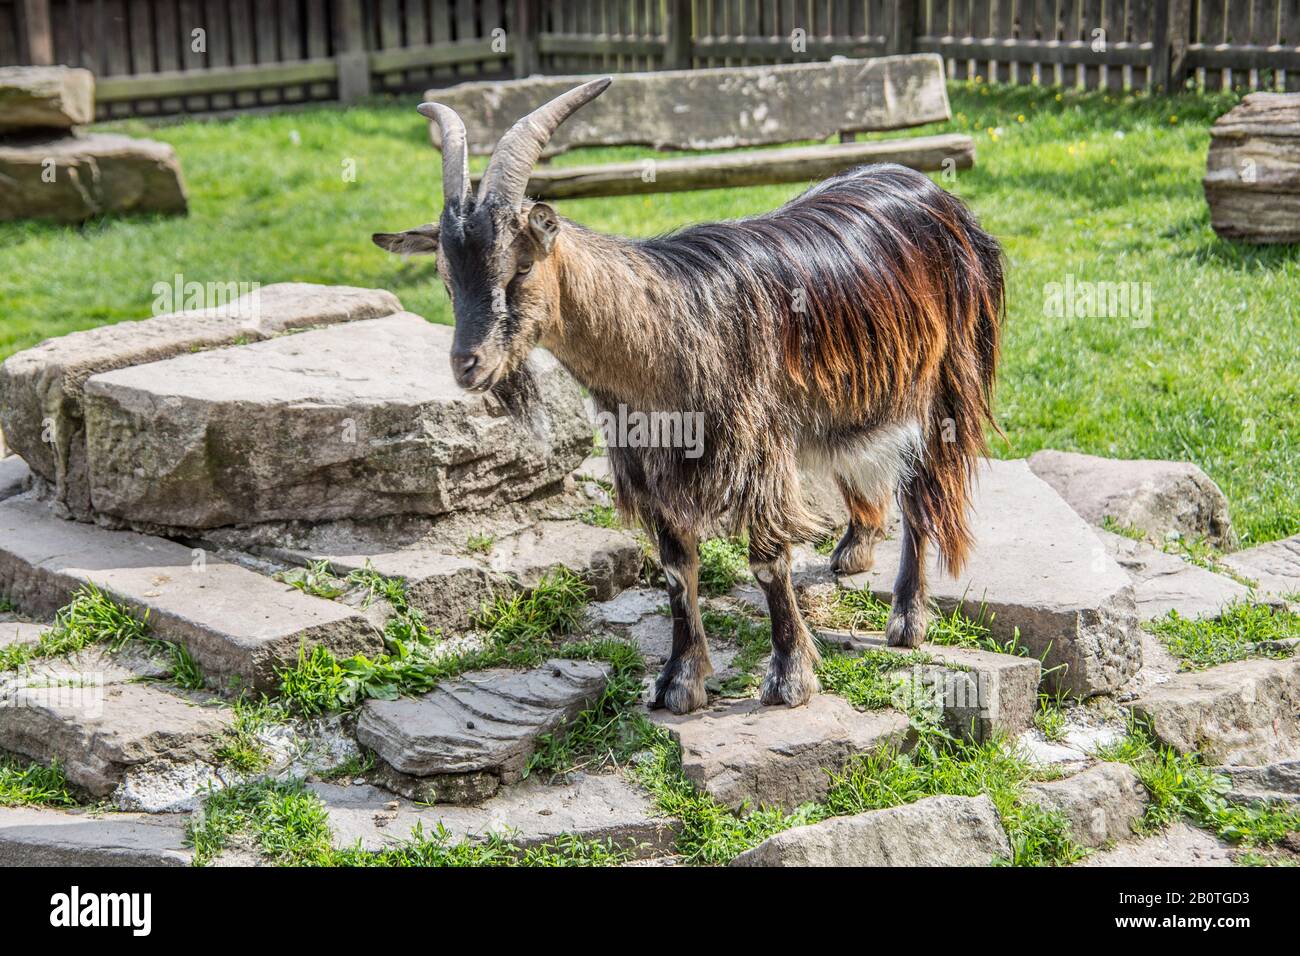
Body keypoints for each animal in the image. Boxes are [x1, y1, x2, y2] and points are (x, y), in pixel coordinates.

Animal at [374, 78, 1005, 715]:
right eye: (446, 277)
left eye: (521, 267)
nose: (467, 365)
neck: (668, 327)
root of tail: (938, 194)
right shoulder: (650, 463)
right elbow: (677, 567)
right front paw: (679, 681)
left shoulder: (756, 448)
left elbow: (767, 559)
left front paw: (789, 676)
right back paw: (855, 545)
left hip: (946, 377)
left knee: (922, 487)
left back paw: (907, 617)